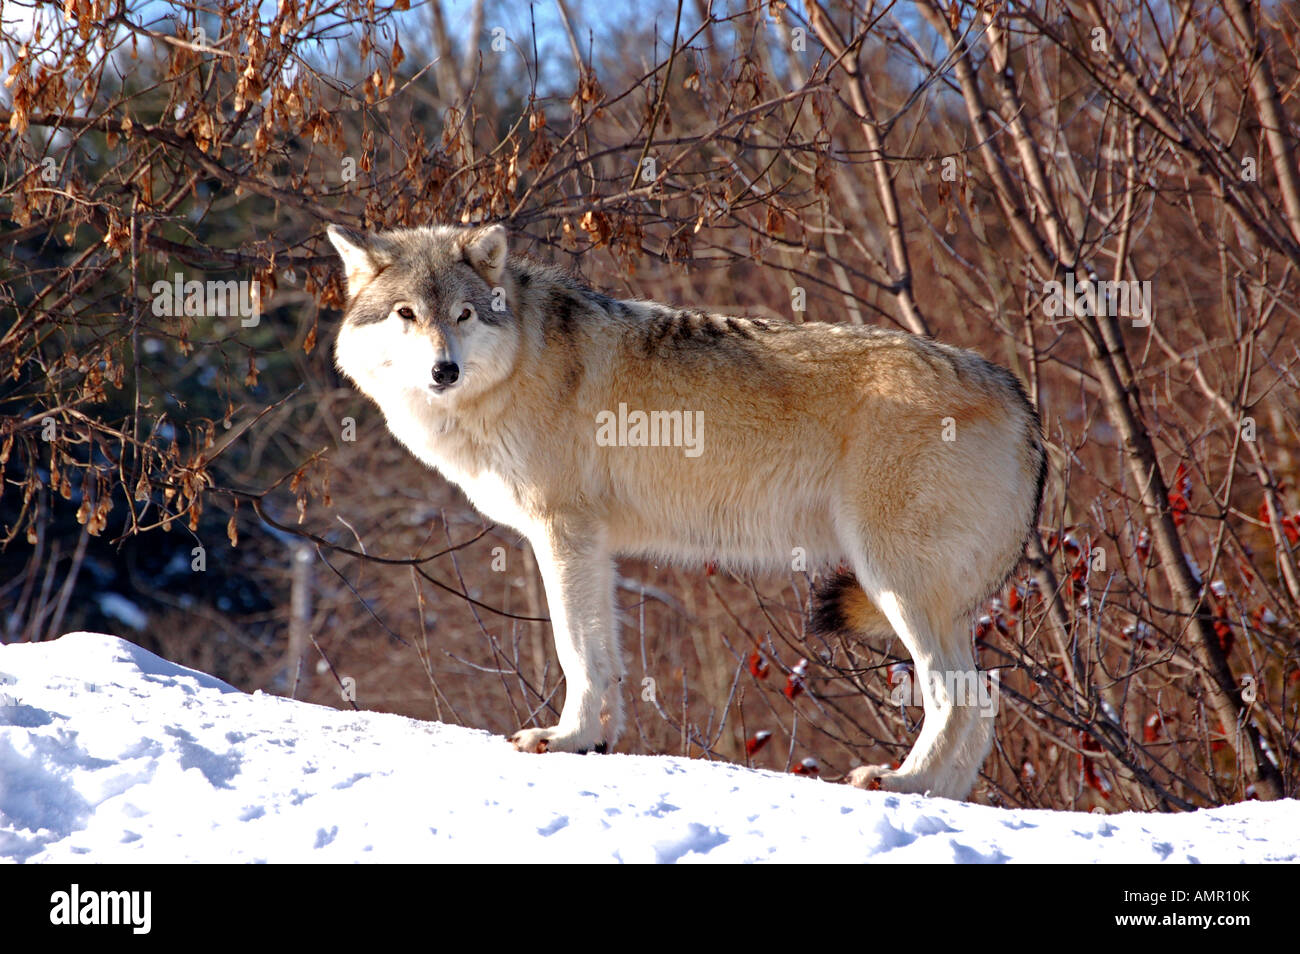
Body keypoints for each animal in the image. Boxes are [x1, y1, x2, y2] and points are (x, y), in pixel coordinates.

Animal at [327, 222, 1046, 800]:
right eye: (406, 314)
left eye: (465, 315)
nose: (443, 371)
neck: (522, 360)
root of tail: (1021, 400)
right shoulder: (593, 546)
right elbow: (603, 657)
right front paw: (594, 742)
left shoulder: (563, 533)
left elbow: (574, 650)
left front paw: (564, 738)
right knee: (985, 701)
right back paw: (941, 798)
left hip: (896, 583)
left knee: (955, 698)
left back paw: (902, 782)